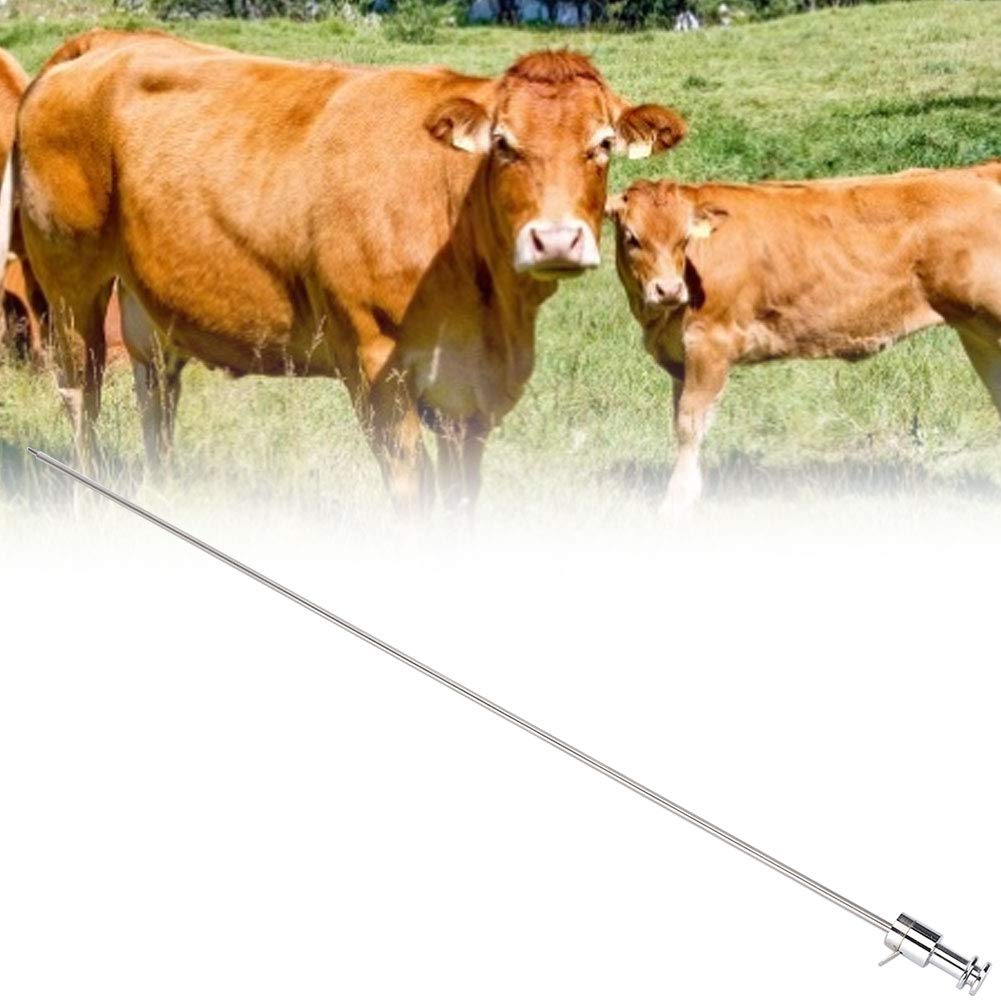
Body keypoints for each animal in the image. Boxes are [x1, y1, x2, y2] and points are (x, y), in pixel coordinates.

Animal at [13, 31, 686, 510]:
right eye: (503, 143)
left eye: (602, 144)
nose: (556, 240)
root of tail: (110, 40)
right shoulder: (374, 364)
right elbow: (411, 492)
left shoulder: (472, 394)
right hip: (70, 281)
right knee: (81, 392)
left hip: (146, 302)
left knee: (155, 389)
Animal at [606, 166, 1001, 515]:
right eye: (631, 238)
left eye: (684, 239)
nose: (669, 289)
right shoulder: (681, 357)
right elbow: (681, 420)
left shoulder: (710, 343)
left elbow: (690, 423)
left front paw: (677, 501)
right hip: (978, 332)